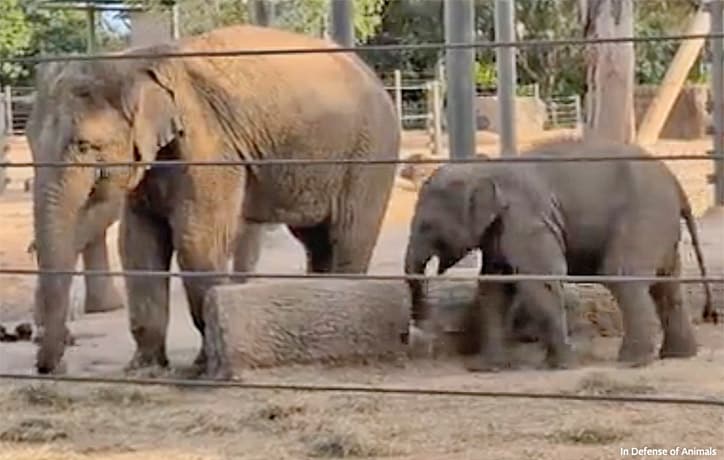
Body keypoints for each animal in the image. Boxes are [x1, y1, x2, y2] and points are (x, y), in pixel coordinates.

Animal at [29, 24, 401, 375]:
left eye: (84, 145)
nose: (53, 366)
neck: (136, 60)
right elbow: (137, 243)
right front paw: (145, 369)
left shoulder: (208, 143)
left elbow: (196, 240)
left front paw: (202, 365)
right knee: (316, 240)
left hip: (370, 154)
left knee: (348, 234)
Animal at [404, 139, 714, 371]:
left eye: (426, 226)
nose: (415, 334)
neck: (484, 168)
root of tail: (676, 184)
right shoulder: (501, 231)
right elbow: (494, 288)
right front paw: (485, 368)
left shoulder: (526, 219)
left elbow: (541, 278)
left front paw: (562, 364)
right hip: (660, 229)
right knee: (667, 286)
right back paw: (677, 355)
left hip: (644, 217)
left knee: (622, 274)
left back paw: (632, 362)